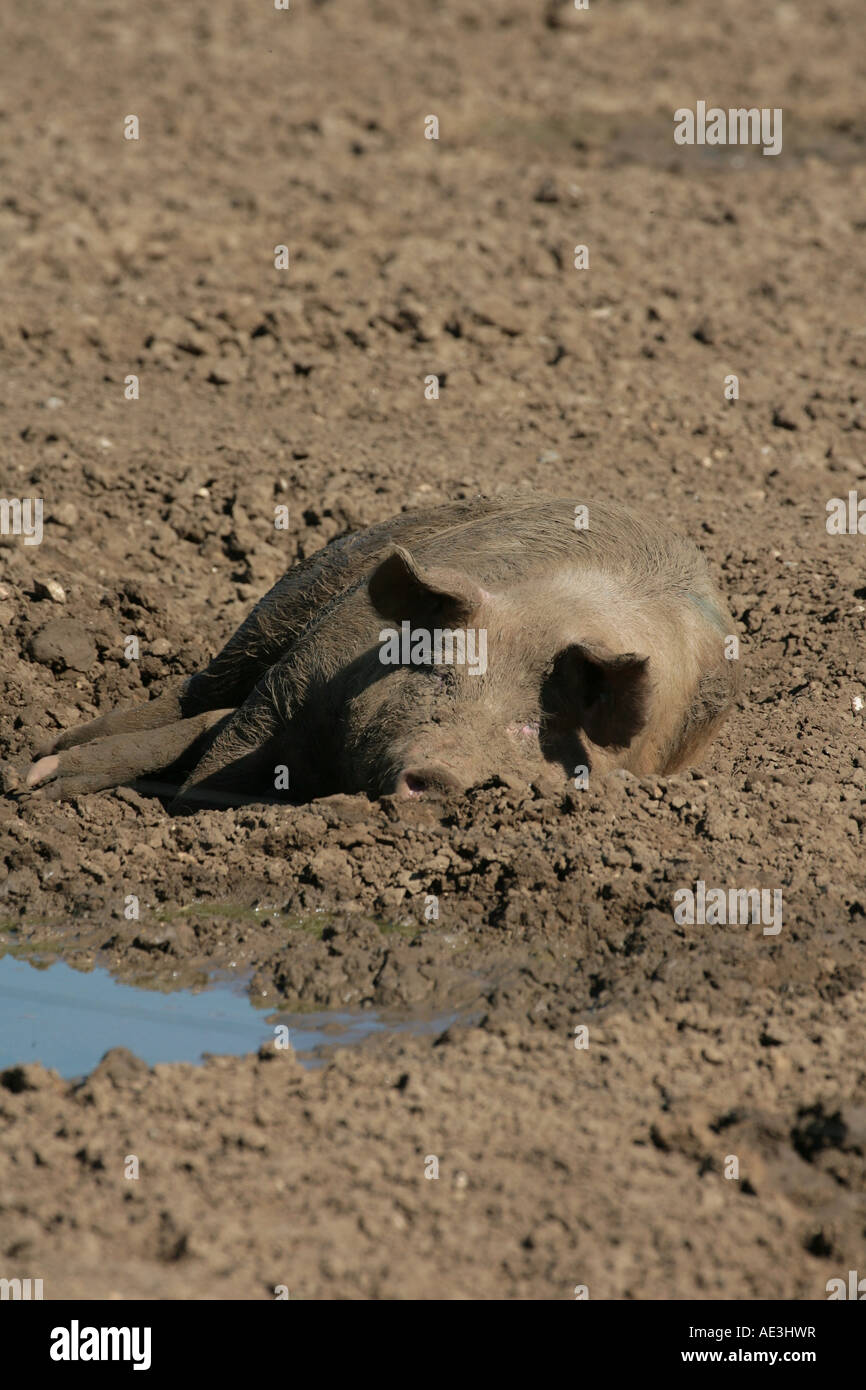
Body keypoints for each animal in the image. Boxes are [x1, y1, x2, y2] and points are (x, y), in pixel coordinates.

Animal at [25, 494, 740, 807]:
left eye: (535, 726)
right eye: (440, 672)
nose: (439, 775)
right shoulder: (302, 678)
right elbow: (223, 756)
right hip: (296, 597)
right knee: (199, 692)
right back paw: (46, 756)